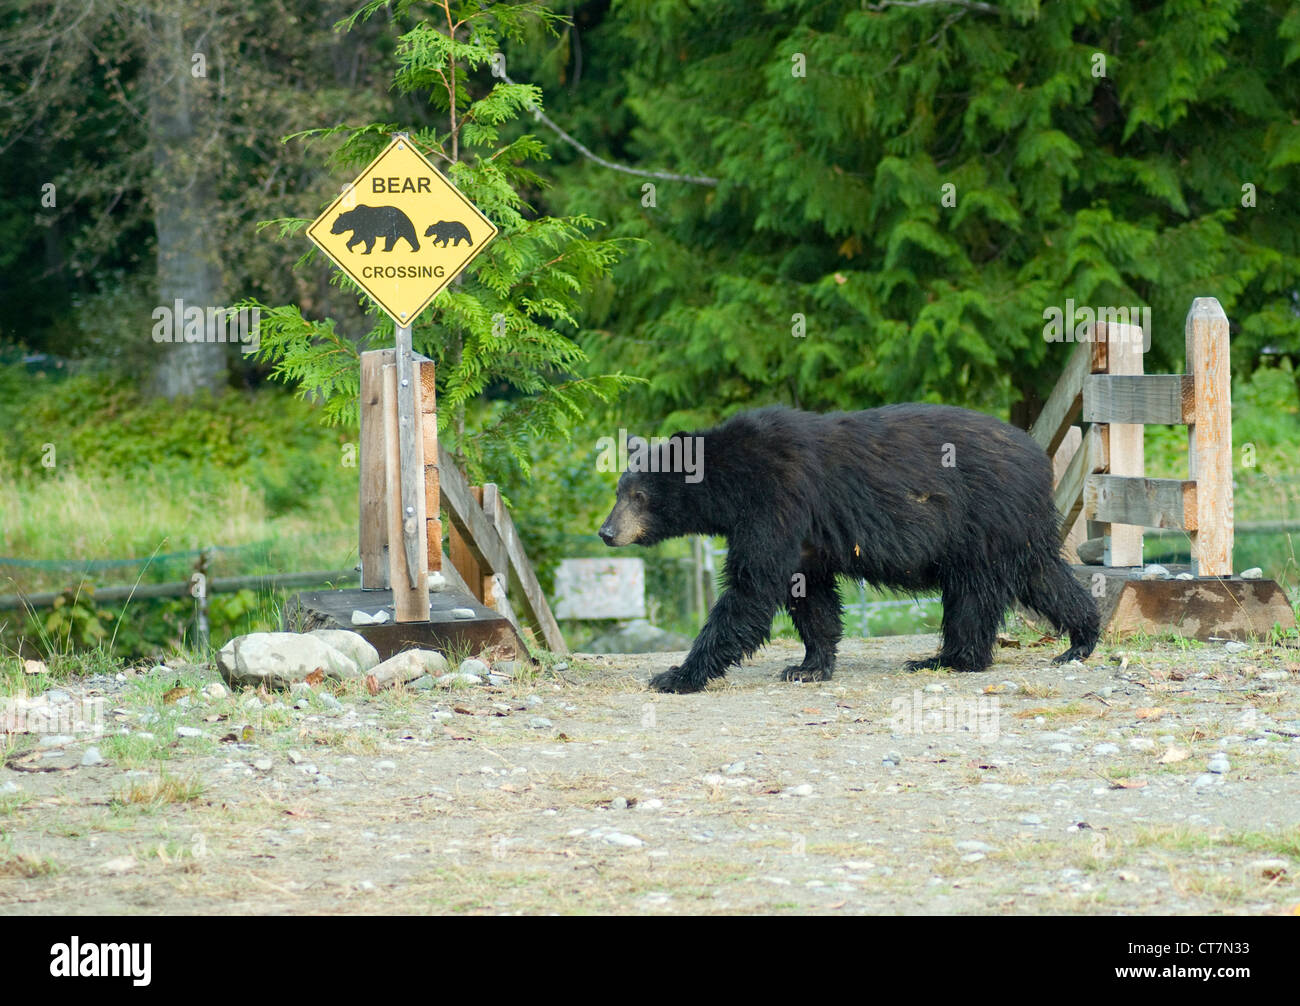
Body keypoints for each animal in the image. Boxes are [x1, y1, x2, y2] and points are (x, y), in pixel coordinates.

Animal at [598, 404, 1099, 694]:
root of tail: (1040, 458)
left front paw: (676, 675)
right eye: (620, 491)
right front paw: (808, 666)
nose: (606, 532)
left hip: (981, 521)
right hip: (1015, 528)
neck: (737, 479)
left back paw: (947, 659)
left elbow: (751, 587)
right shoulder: (803, 537)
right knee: (1043, 576)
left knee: (972, 596)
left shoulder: (779, 500)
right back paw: (1080, 639)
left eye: (638, 496)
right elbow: (808, 592)